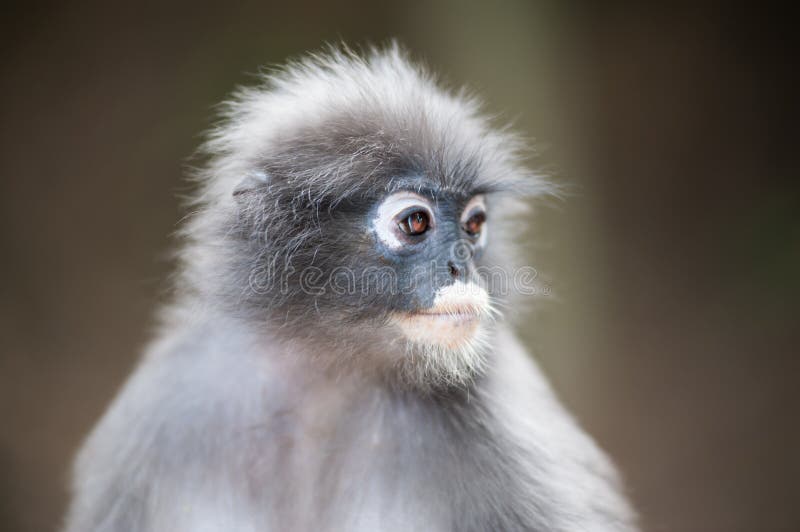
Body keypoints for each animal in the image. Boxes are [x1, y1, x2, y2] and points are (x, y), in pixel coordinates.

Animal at [63, 45, 638, 532]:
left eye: (474, 225)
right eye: (415, 222)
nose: (462, 267)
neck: (327, 377)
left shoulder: (505, 430)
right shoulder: (160, 407)